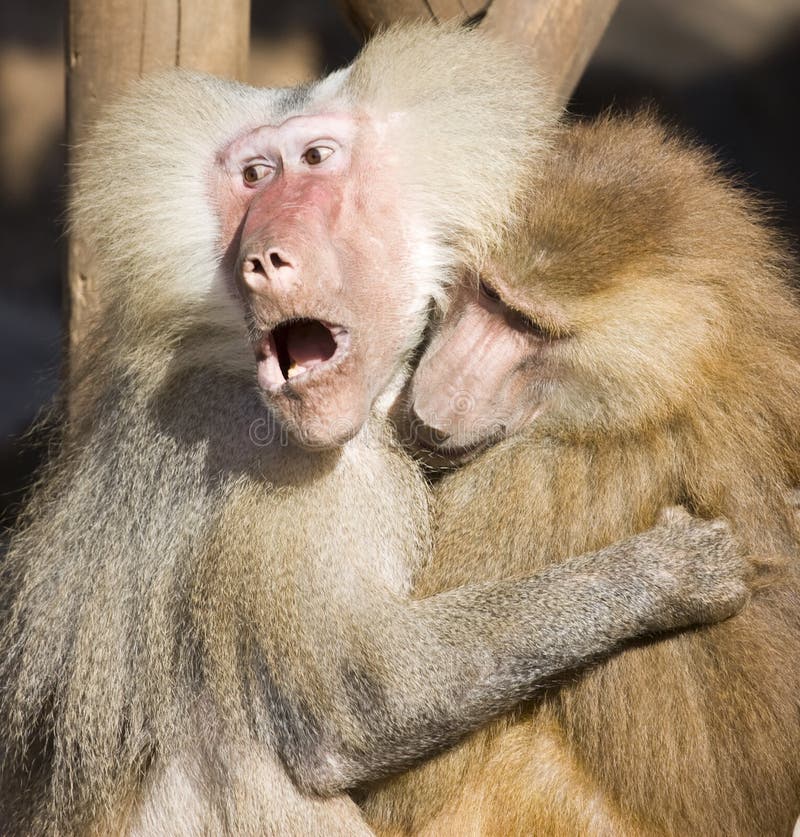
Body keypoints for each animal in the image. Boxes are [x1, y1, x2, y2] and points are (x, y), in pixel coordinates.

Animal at [0, 29, 750, 835]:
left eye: (316, 159)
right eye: (254, 175)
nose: (264, 258)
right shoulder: (281, 476)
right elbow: (356, 710)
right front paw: (668, 572)